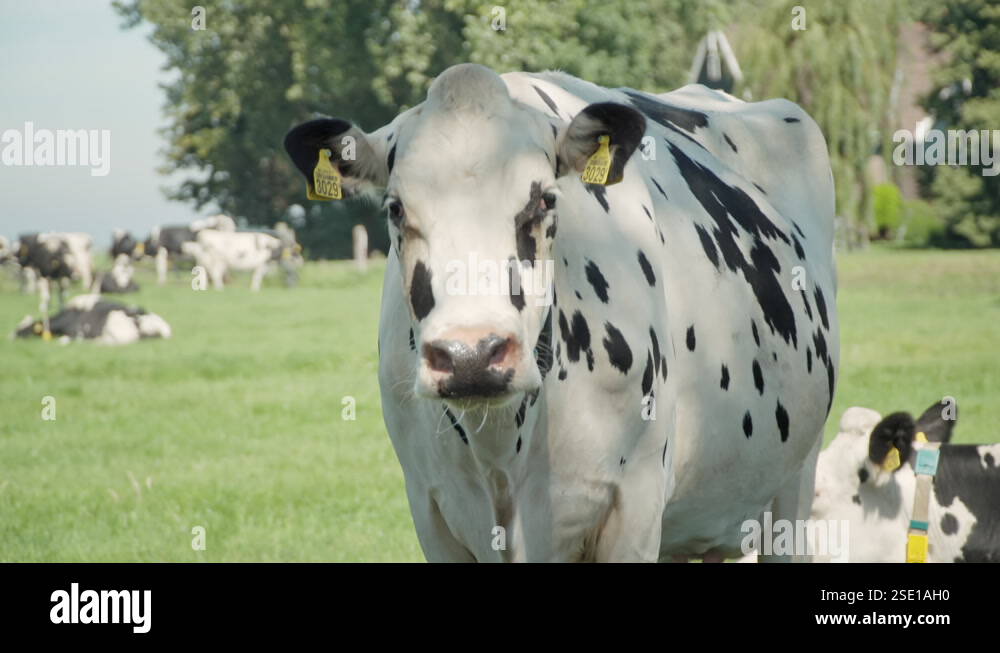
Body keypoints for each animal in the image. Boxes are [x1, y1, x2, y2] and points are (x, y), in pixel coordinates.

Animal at [284, 63, 838, 562]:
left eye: (545, 201)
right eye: (395, 208)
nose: (470, 356)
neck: (502, 448)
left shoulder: (635, 507)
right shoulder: (431, 510)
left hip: (795, 485)